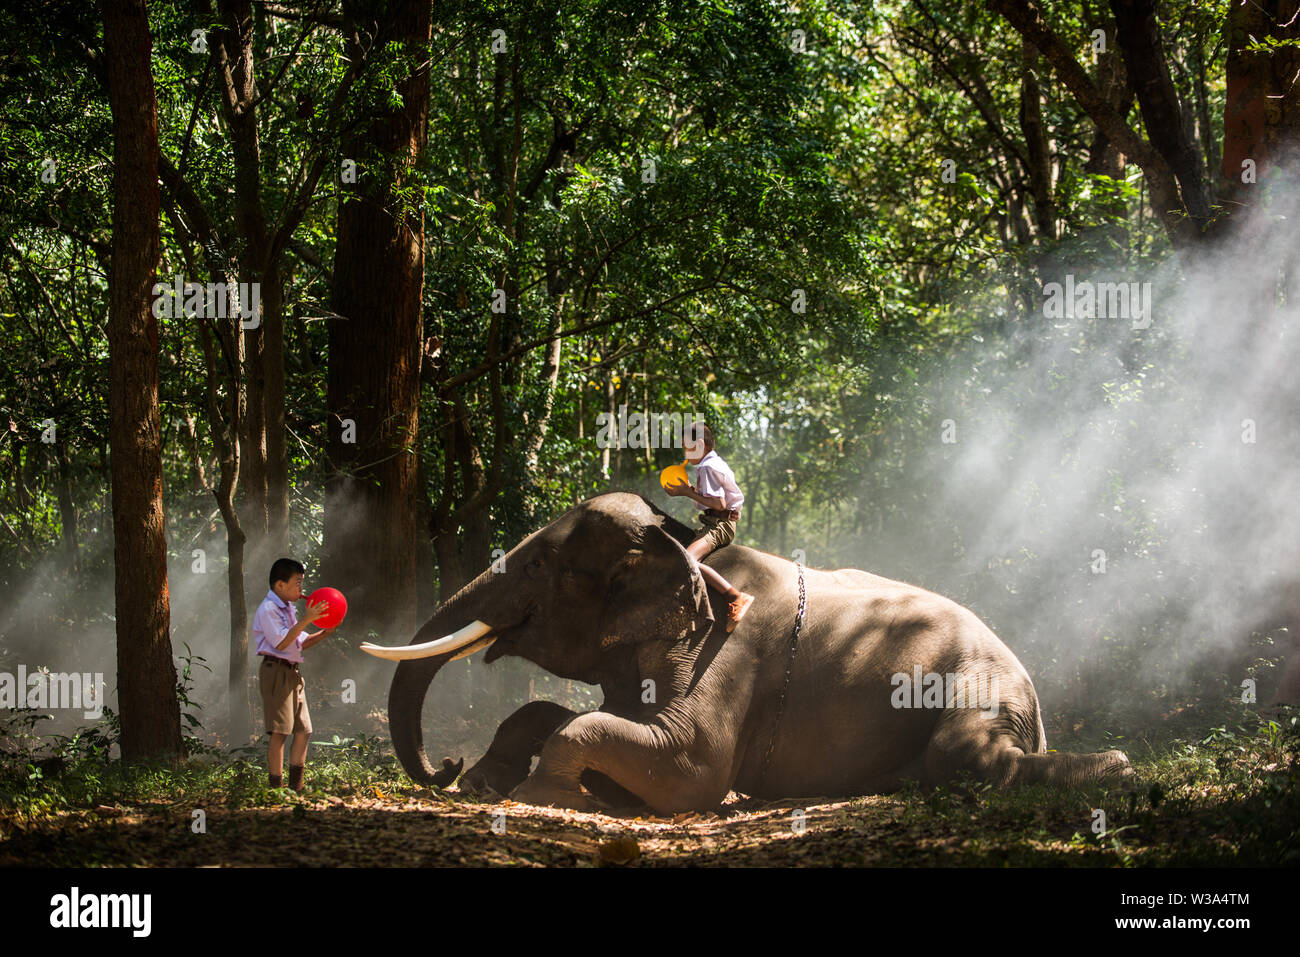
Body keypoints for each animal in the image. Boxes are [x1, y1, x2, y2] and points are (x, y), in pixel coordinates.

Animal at [362, 492, 1132, 813]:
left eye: (545, 566)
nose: (442, 767)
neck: (682, 545)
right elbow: (578, 715)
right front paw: (484, 784)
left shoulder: (724, 651)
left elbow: (691, 766)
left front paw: (543, 795)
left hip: (977, 684)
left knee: (964, 757)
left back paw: (1117, 768)